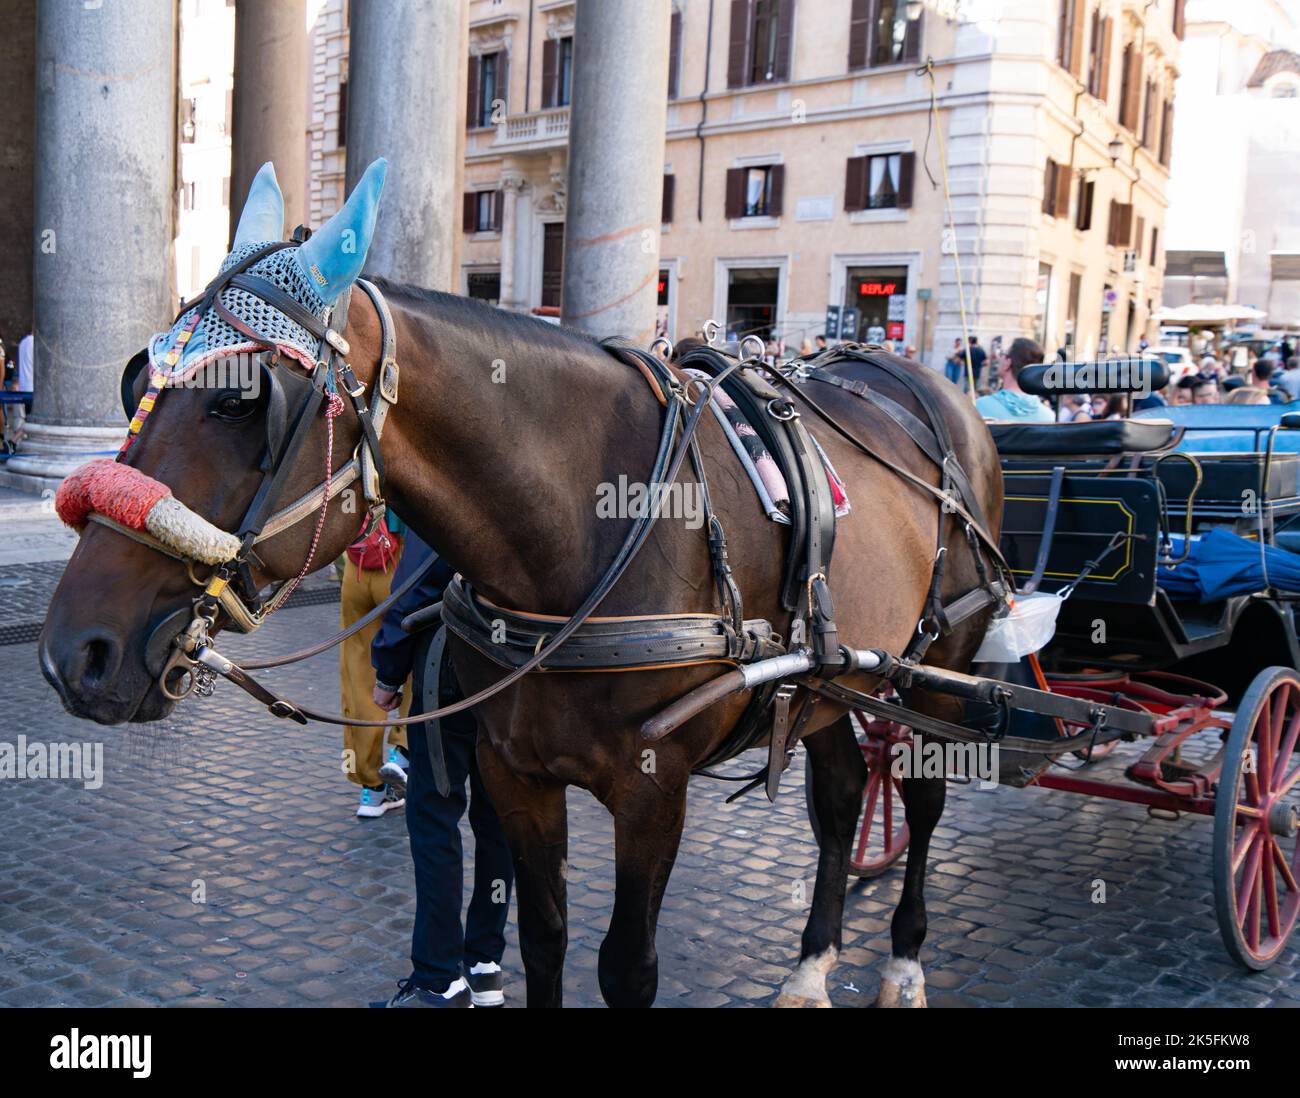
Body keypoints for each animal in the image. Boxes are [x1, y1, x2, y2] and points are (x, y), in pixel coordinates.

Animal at [41, 161, 1003, 1008]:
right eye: (137, 378)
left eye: (244, 402)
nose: (73, 654)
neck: (584, 532)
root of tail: (912, 378)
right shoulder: (515, 774)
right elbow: (540, 937)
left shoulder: (653, 789)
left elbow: (626, 968)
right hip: (835, 680)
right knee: (840, 800)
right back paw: (811, 966)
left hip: (943, 666)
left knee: (921, 798)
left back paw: (903, 964)